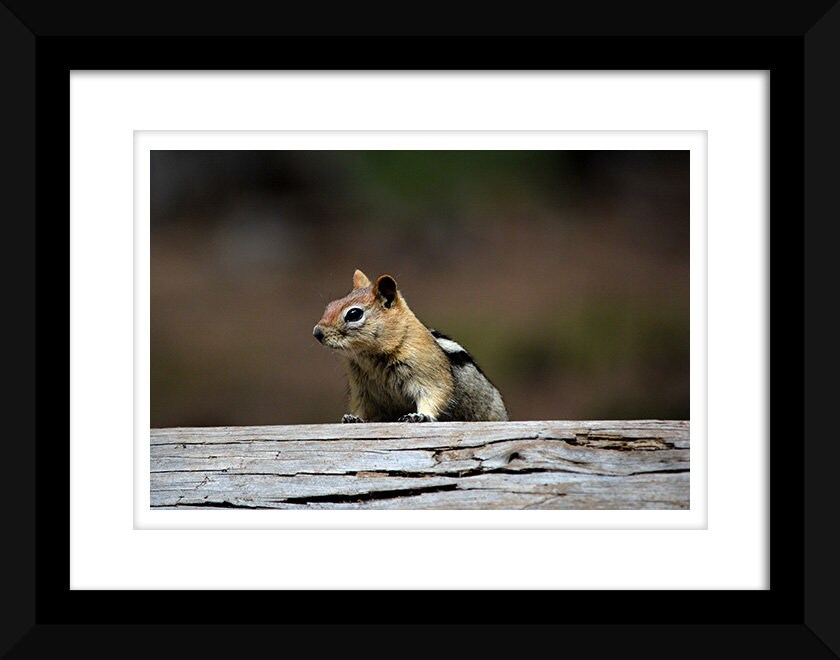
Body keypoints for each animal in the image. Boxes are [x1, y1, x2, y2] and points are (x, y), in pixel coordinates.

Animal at [313, 269, 509, 423]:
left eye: (354, 314)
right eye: (330, 306)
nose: (317, 332)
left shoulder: (428, 372)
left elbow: (435, 393)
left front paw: (420, 416)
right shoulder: (360, 389)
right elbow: (362, 406)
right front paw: (353, 418)